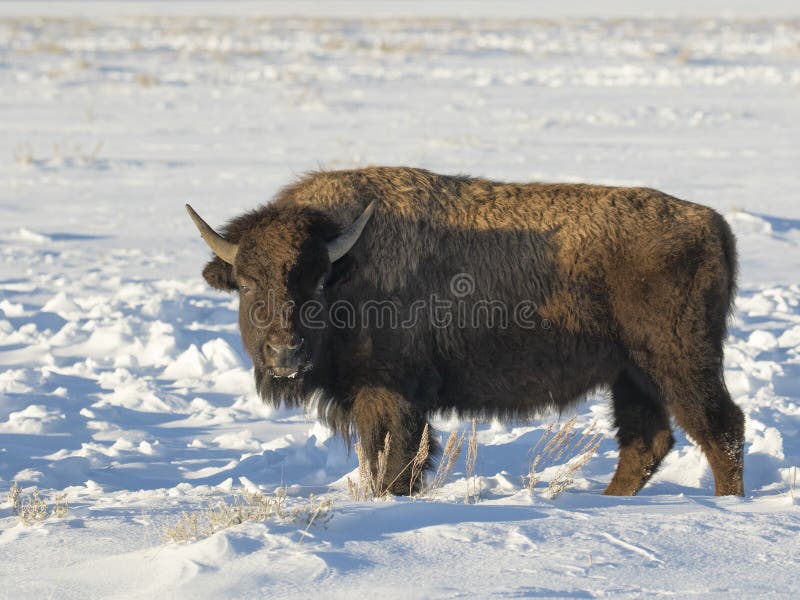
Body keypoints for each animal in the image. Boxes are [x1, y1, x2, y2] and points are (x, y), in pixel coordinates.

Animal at [186, 166, 744, 496]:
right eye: (247, 282)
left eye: (318, 280)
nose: (286, 354)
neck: (351, 262)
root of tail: (710, 223)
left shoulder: (394, 398)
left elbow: (397, 465)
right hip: (631, 375)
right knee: (647, 441)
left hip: (679, 364)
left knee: (721, 428)